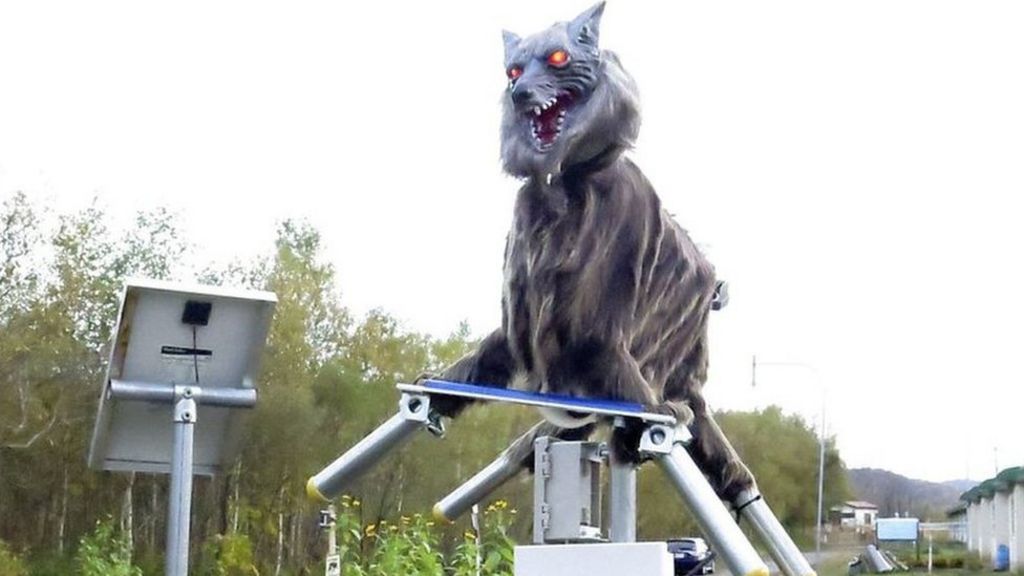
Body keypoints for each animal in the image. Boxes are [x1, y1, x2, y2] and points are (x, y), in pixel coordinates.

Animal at [429, 2, 754, 504]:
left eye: (559, 58)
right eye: (513, 70)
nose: (519, 92)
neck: (564, 185)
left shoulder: (600, 322)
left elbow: (629, 394)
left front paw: (653, 416)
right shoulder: (523, 310)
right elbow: (487, 357)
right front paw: (443, 388)